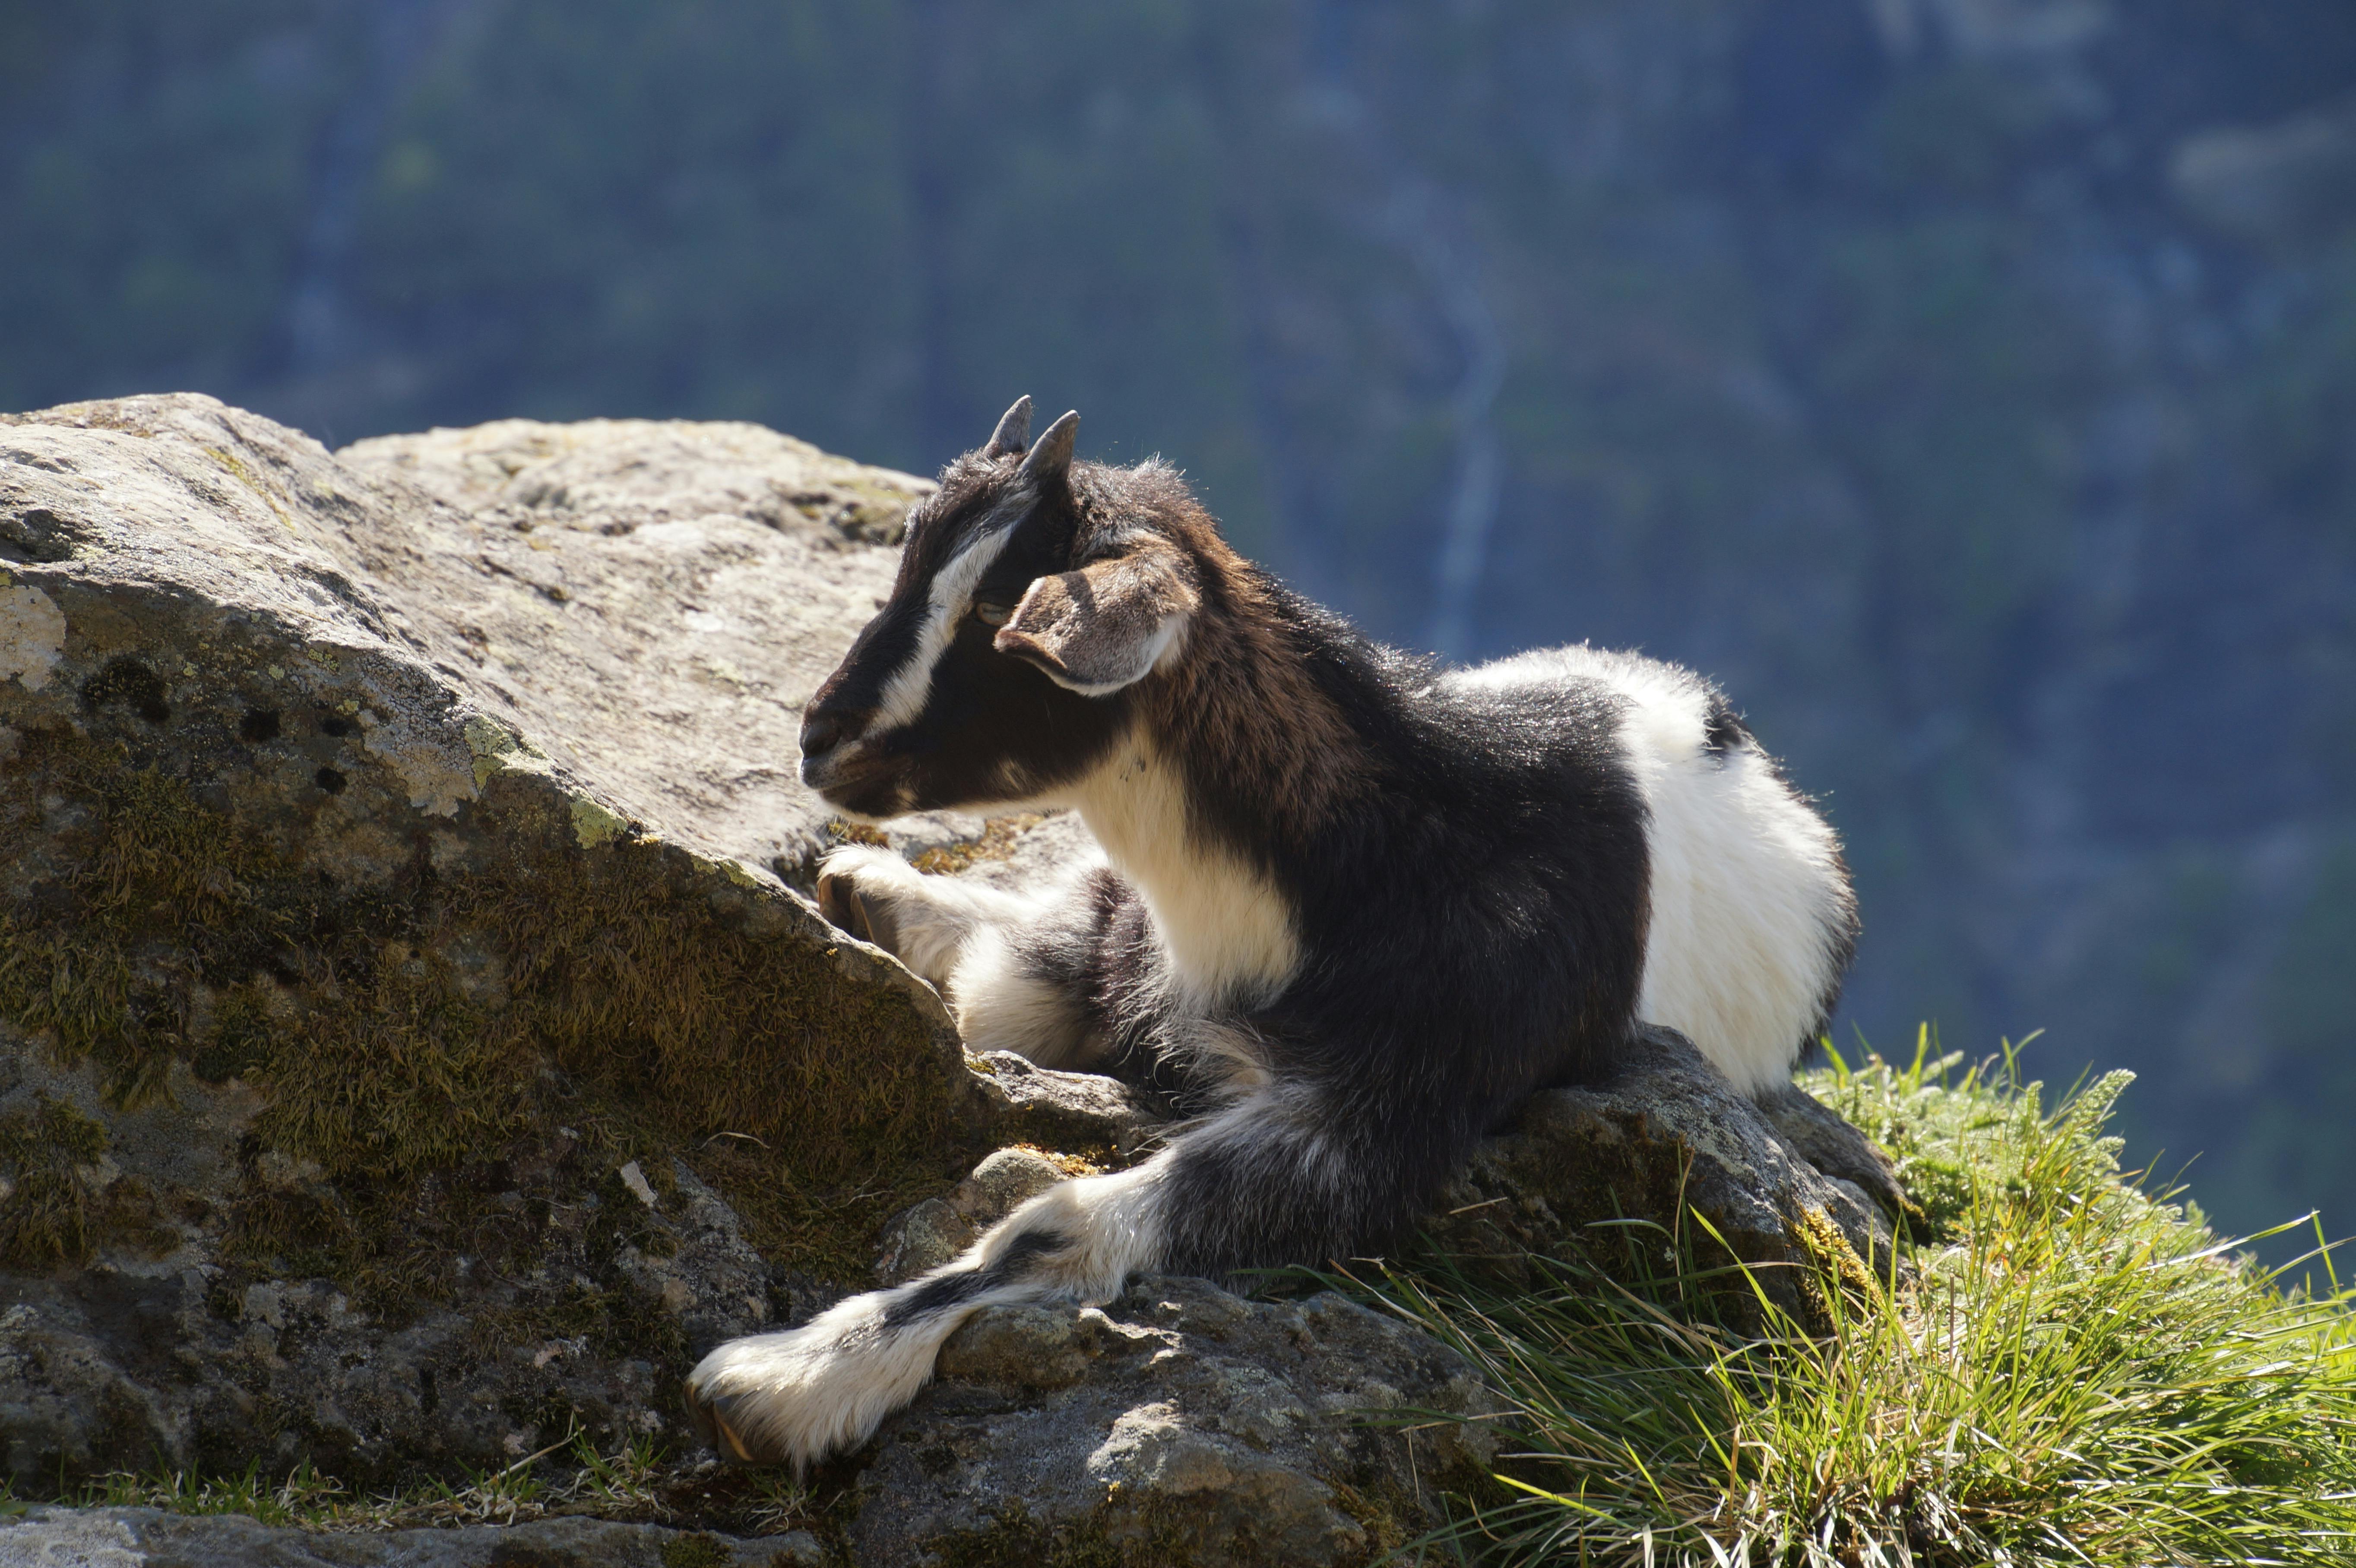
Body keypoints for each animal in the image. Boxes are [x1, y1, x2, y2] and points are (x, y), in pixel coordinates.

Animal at [683, 397, 1860, 1468]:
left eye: (993, 617)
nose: (819, 739)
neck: (1377, 854)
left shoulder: (1391, 1114)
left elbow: (1056, 1223)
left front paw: (790, 1378)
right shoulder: (1139, 957)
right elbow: (1009, 993)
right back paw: (871, 888)